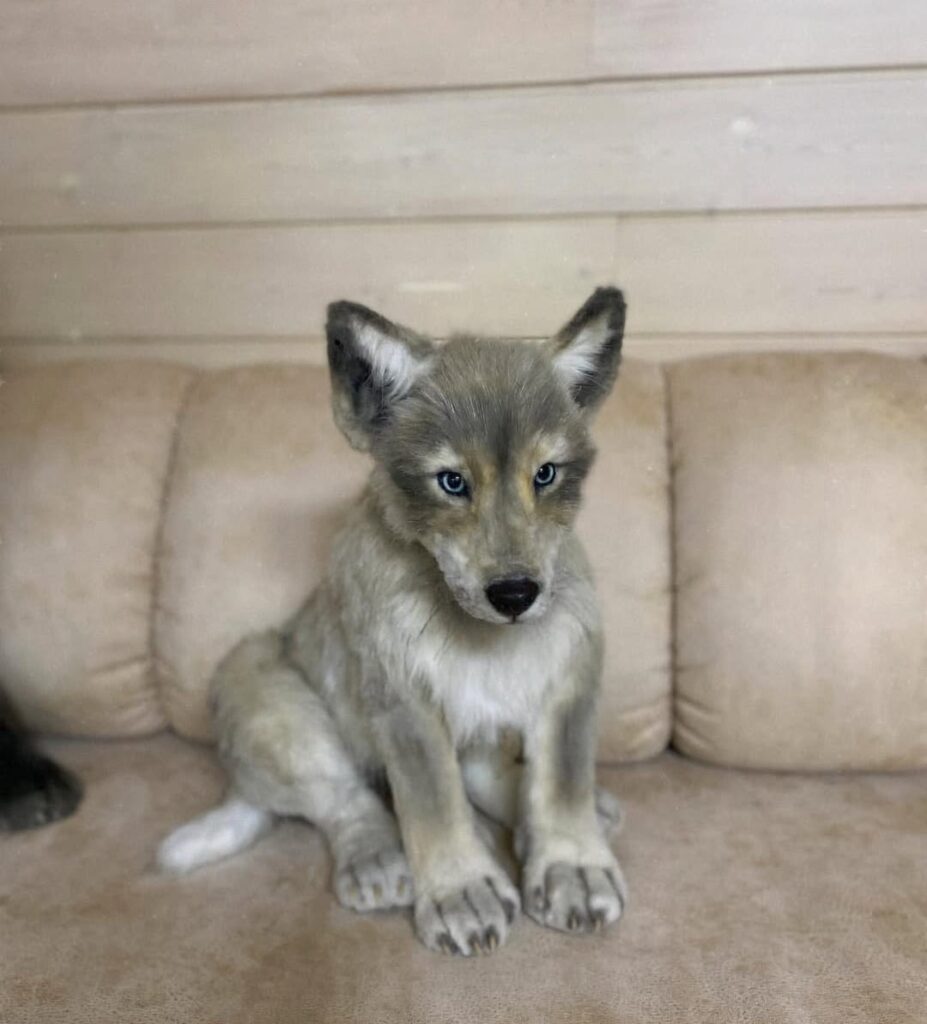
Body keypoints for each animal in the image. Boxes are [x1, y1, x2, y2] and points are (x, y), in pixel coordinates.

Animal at [158, 287, 629, 955]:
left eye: (545, 474)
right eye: (452, 482)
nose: (515, 594)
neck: (481, 637)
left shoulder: (569, 680)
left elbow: (563, 783)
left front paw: (571, 864)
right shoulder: (404, 702)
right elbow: (433, 805)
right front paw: (462, 891)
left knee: (480, 773)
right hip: (264, 693)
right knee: (346, 801)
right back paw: (379, 861)